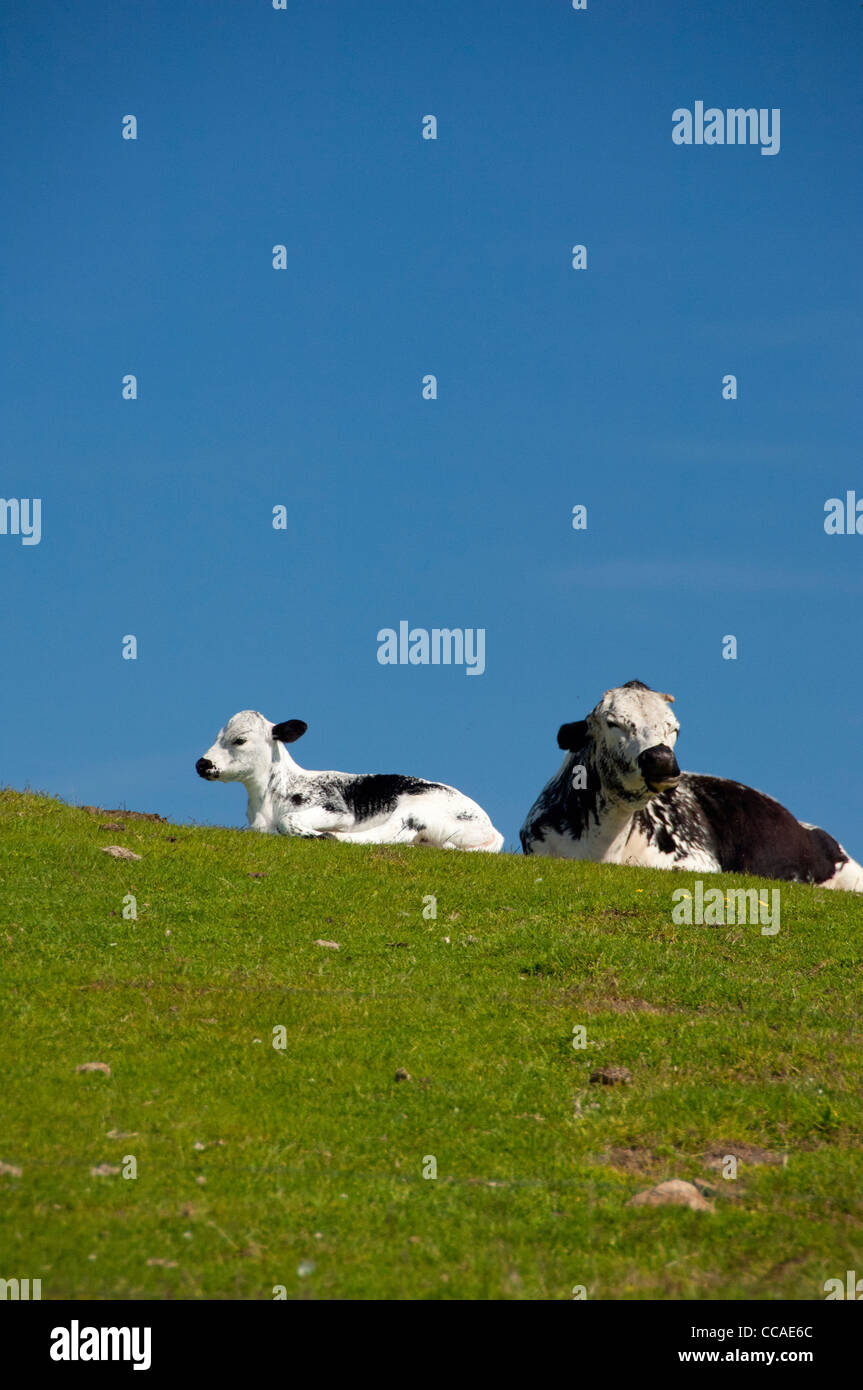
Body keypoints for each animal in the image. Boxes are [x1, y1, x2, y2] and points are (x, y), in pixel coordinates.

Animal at [196, 709, 504, 851]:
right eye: (217, 737)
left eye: (240, 740)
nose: (202, 763)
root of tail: (491, 827)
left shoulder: (336, 810)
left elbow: (289, 820)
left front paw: (316, 834)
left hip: (418, 806)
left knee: (391, 833)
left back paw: (331, 836)